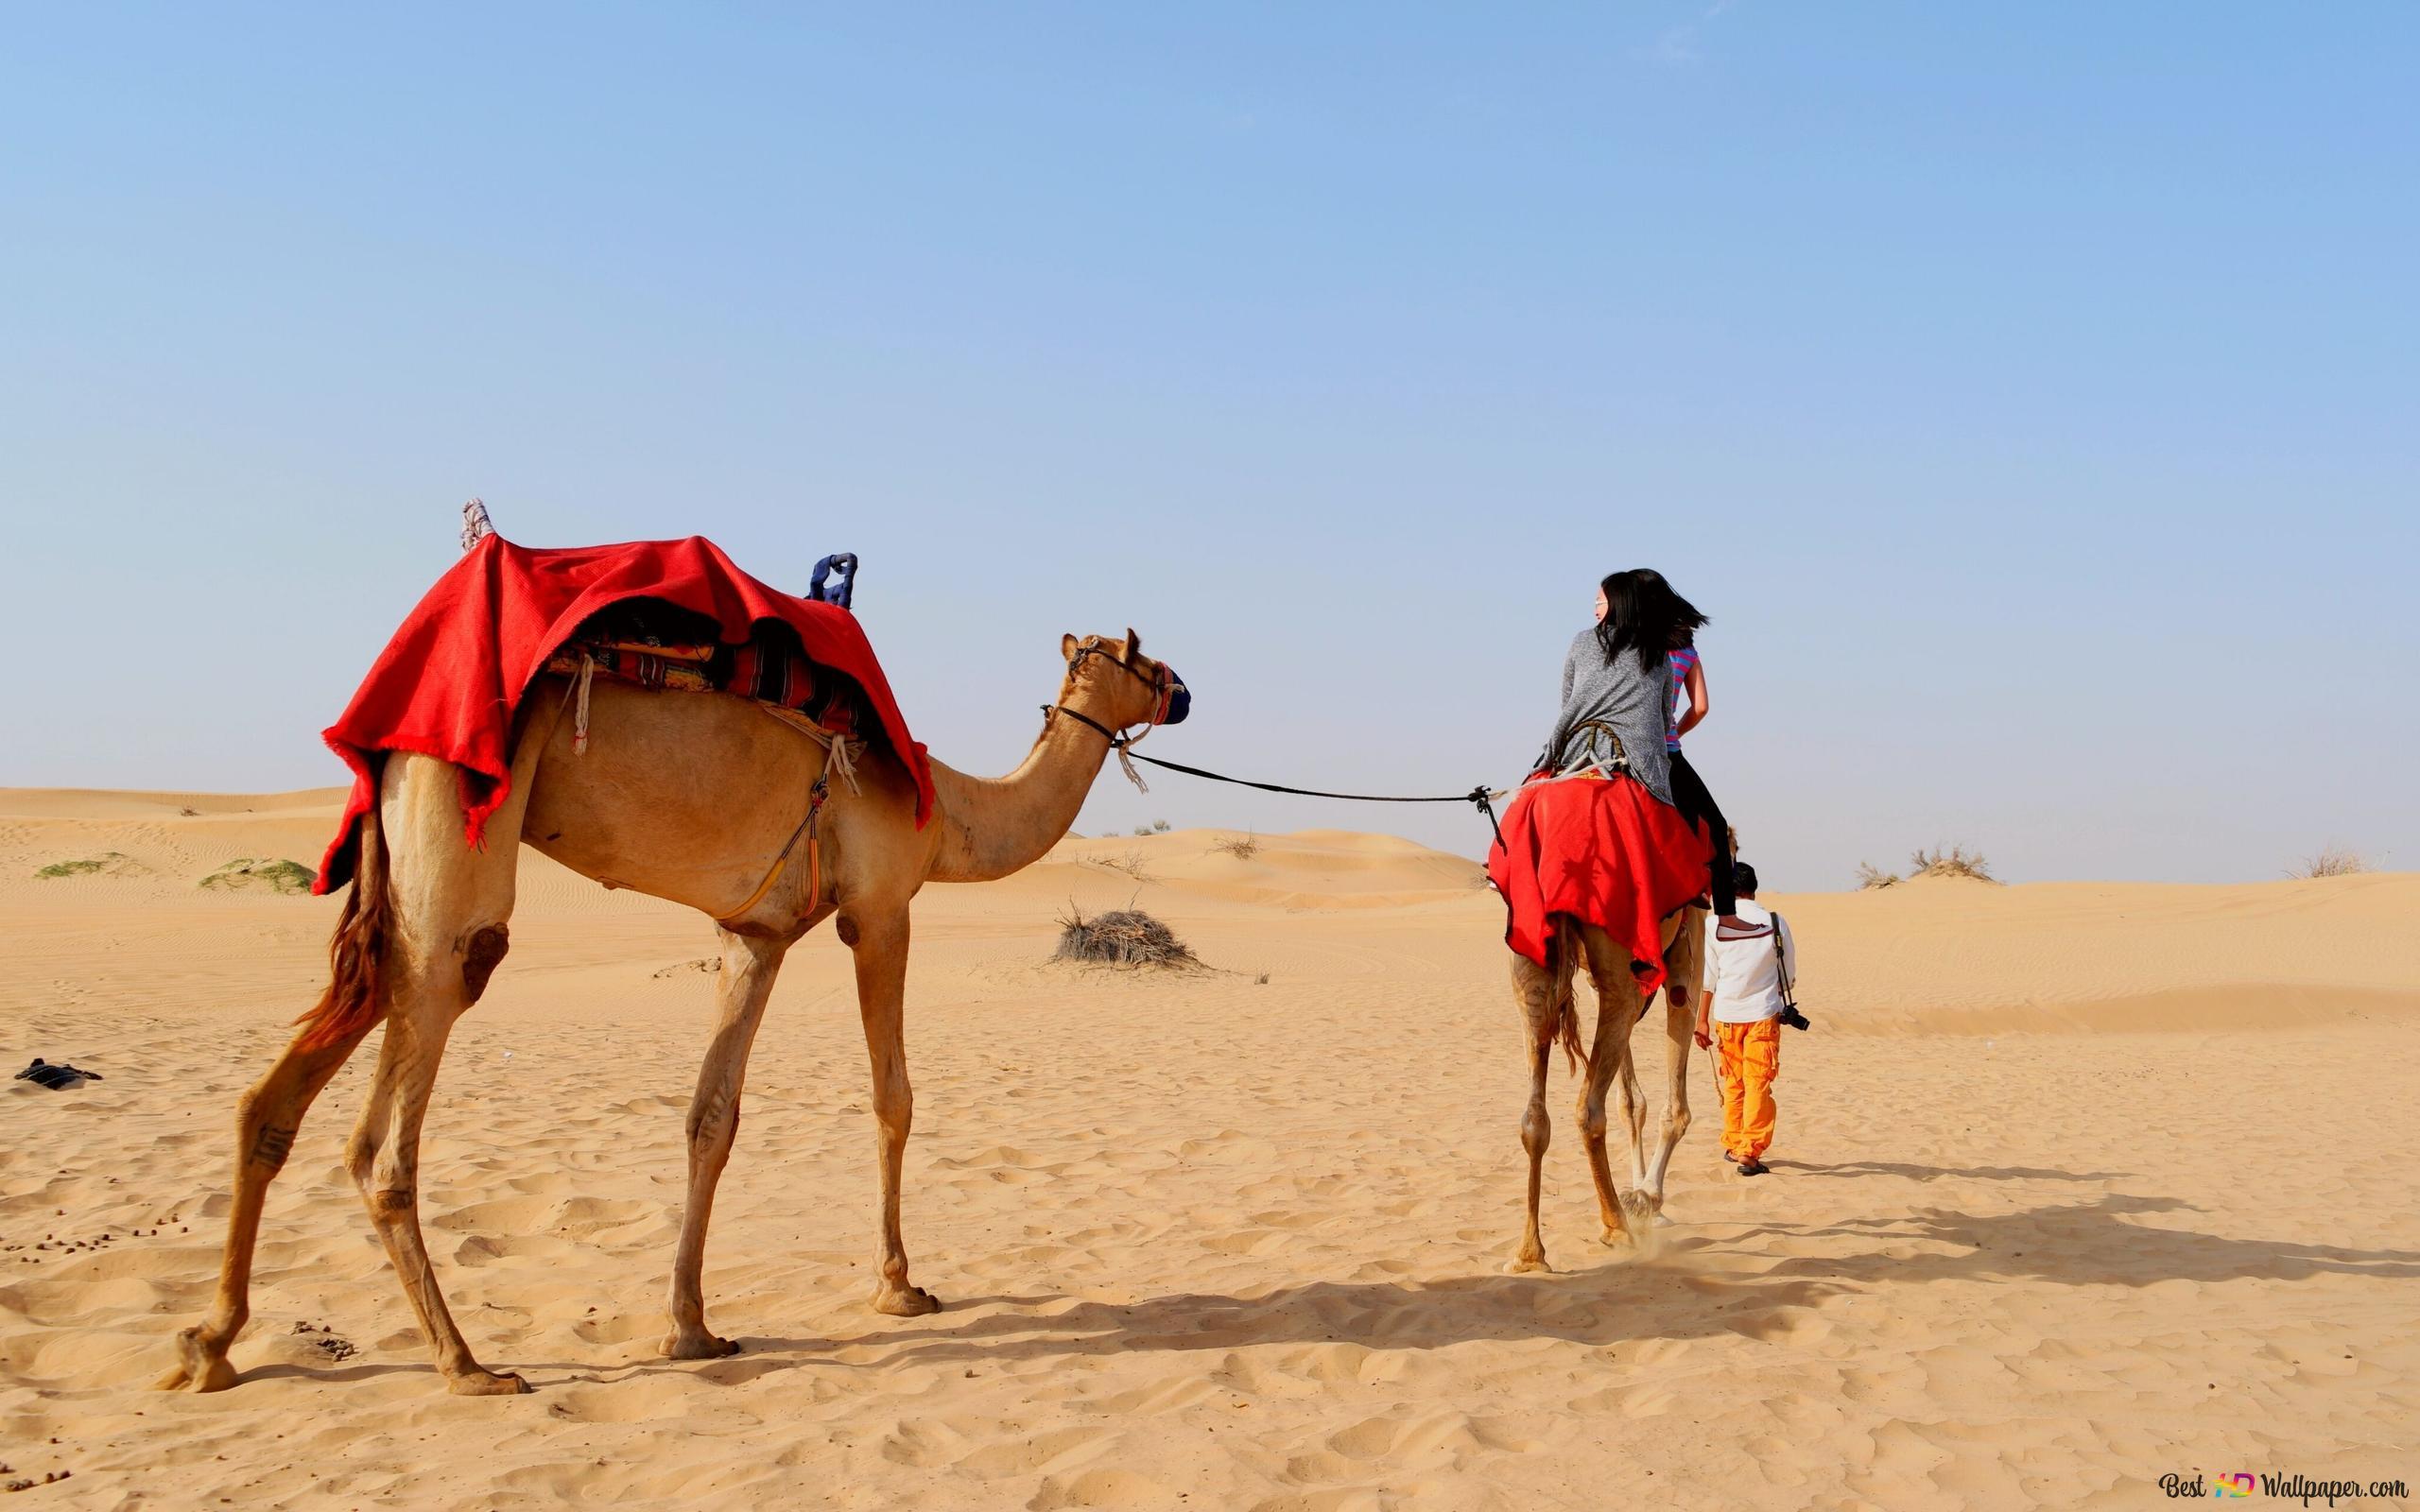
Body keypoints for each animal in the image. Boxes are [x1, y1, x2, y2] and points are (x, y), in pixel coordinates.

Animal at [158, 630, 1178, 1396]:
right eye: (1143, 656)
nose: (1186, 691)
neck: (950, 814)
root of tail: (390, 737)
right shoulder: (883, 909)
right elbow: (894, 1100)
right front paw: (900, 1287)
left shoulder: (755, 934)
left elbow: (710, 1118)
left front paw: (689, 1327)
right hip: (456, 851)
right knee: (387, 1131)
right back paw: (466, 1364)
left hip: (391, 889)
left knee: (273, 1100)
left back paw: (209, 1346)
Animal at [1502, 909, 1705, 1274]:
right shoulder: (1688, 947)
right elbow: (1676, 1111)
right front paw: (1647, 1197)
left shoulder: (1598, 983)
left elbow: (1631, 1102)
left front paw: (1640, 1194)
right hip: (1624, 972)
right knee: (1589, 1108)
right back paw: (1618, 1229)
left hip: (1528, 965)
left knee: (1534, 1119)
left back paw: (1528, 1255)